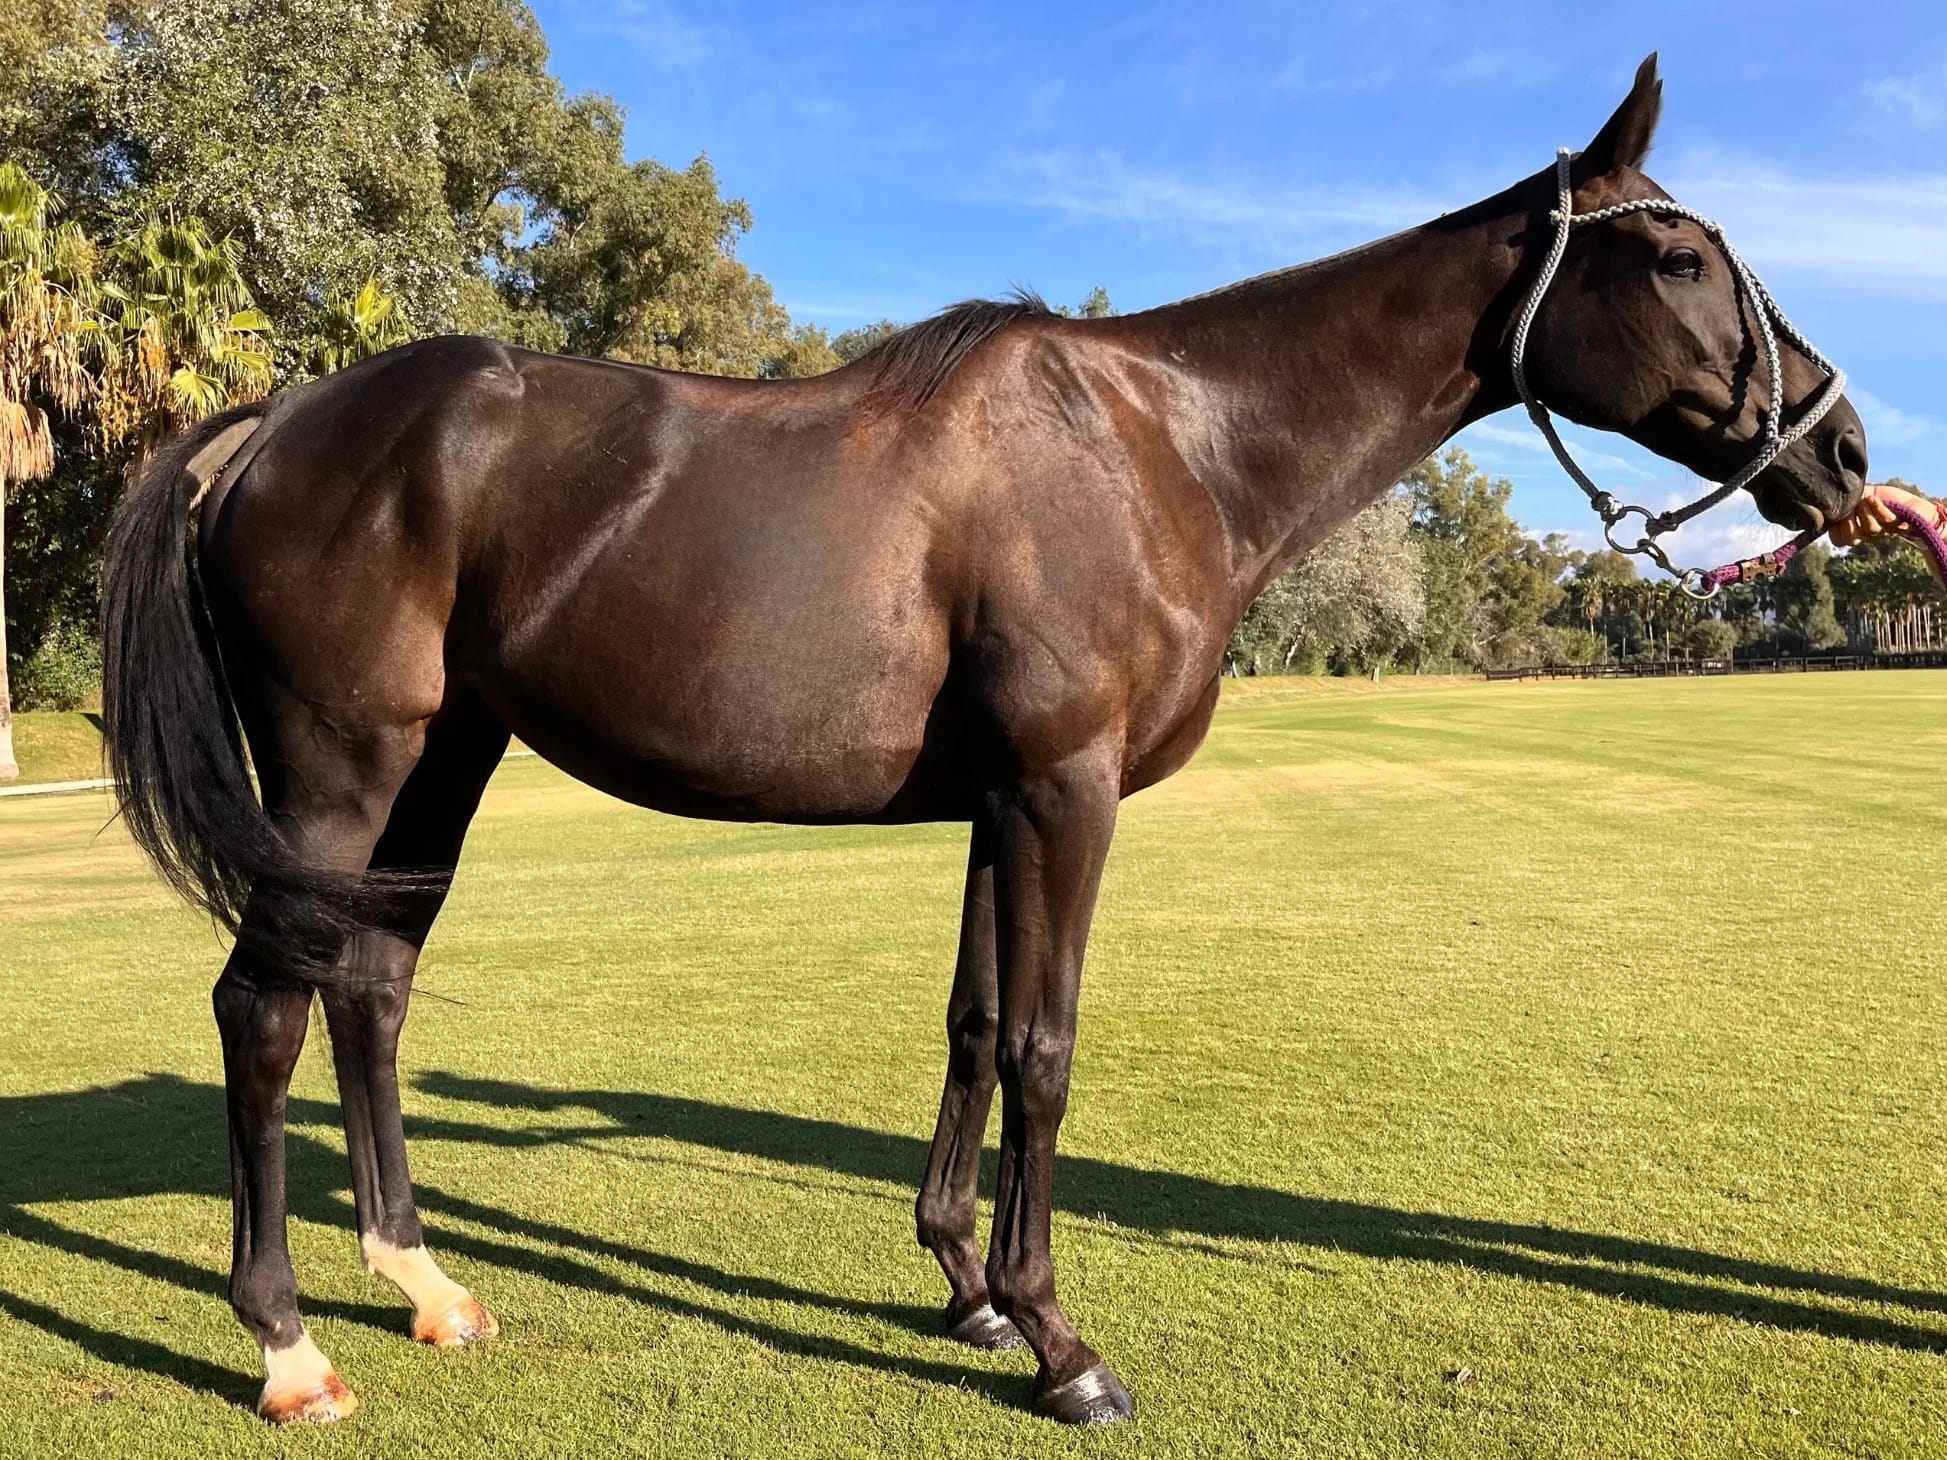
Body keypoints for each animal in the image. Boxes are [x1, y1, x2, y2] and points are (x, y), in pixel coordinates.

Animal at [100, 55, 1867, 1427]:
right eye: (1679, 260)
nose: (1841, 448)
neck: (1167, 442)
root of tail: (282, 421)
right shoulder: (1060, 795)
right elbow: (1042, 1047)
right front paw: (1056, 1341)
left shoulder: (989, 805)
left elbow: (965, 1026)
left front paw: (962, 1288)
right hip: (337, 773)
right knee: (264, 1009)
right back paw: (289, 1347)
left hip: (441, 764)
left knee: (370, 989)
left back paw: (422, 1281)